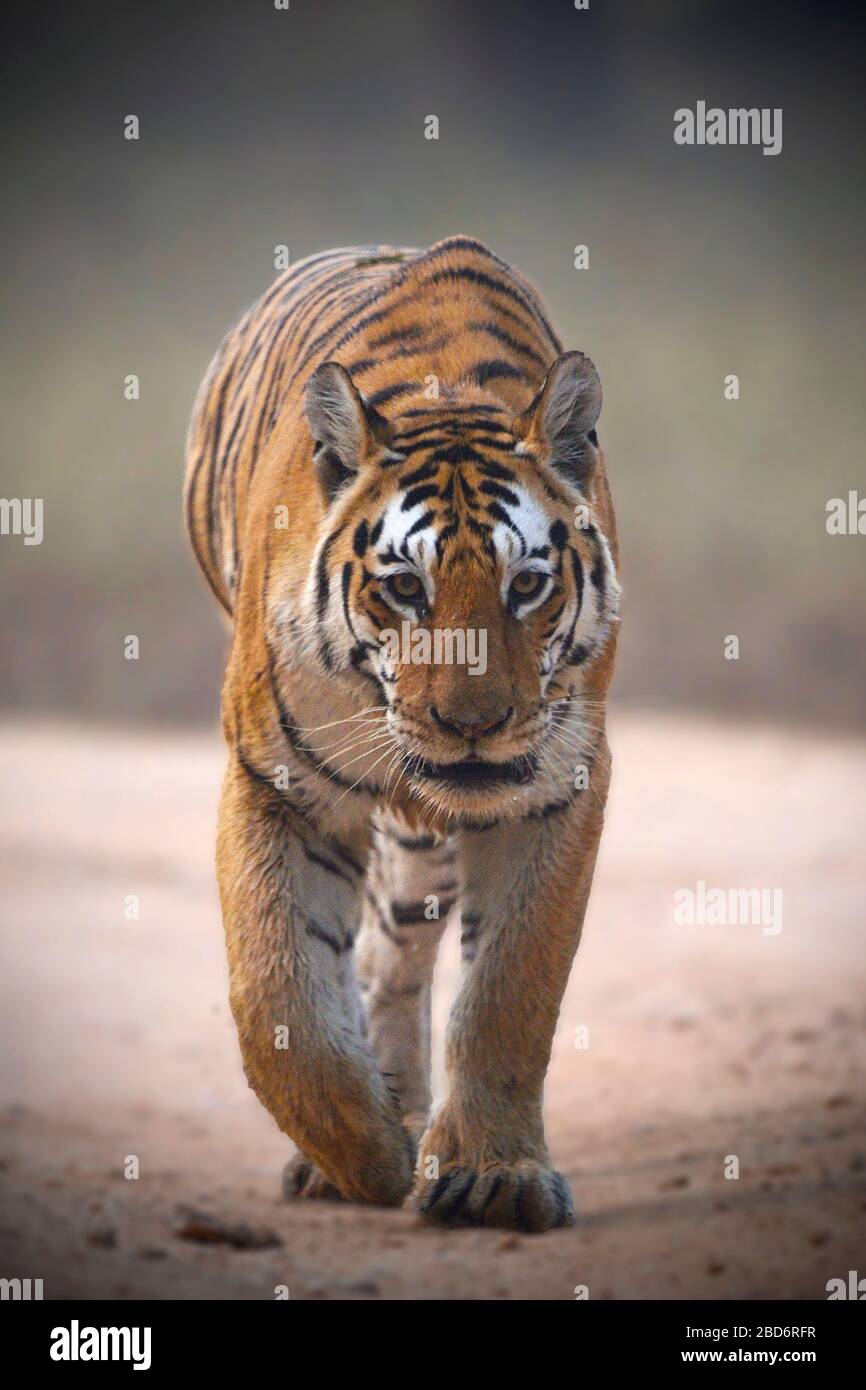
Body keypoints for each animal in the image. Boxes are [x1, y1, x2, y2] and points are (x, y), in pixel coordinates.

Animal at [184, 235, 619, 1232]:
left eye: (526, 586)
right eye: (405, 588)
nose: (473, 725)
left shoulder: (559, 788)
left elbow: (510, 992)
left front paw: (493, 1175)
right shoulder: (275, 784)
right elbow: (277, 993)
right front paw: (368, 1158)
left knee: (397, 957)